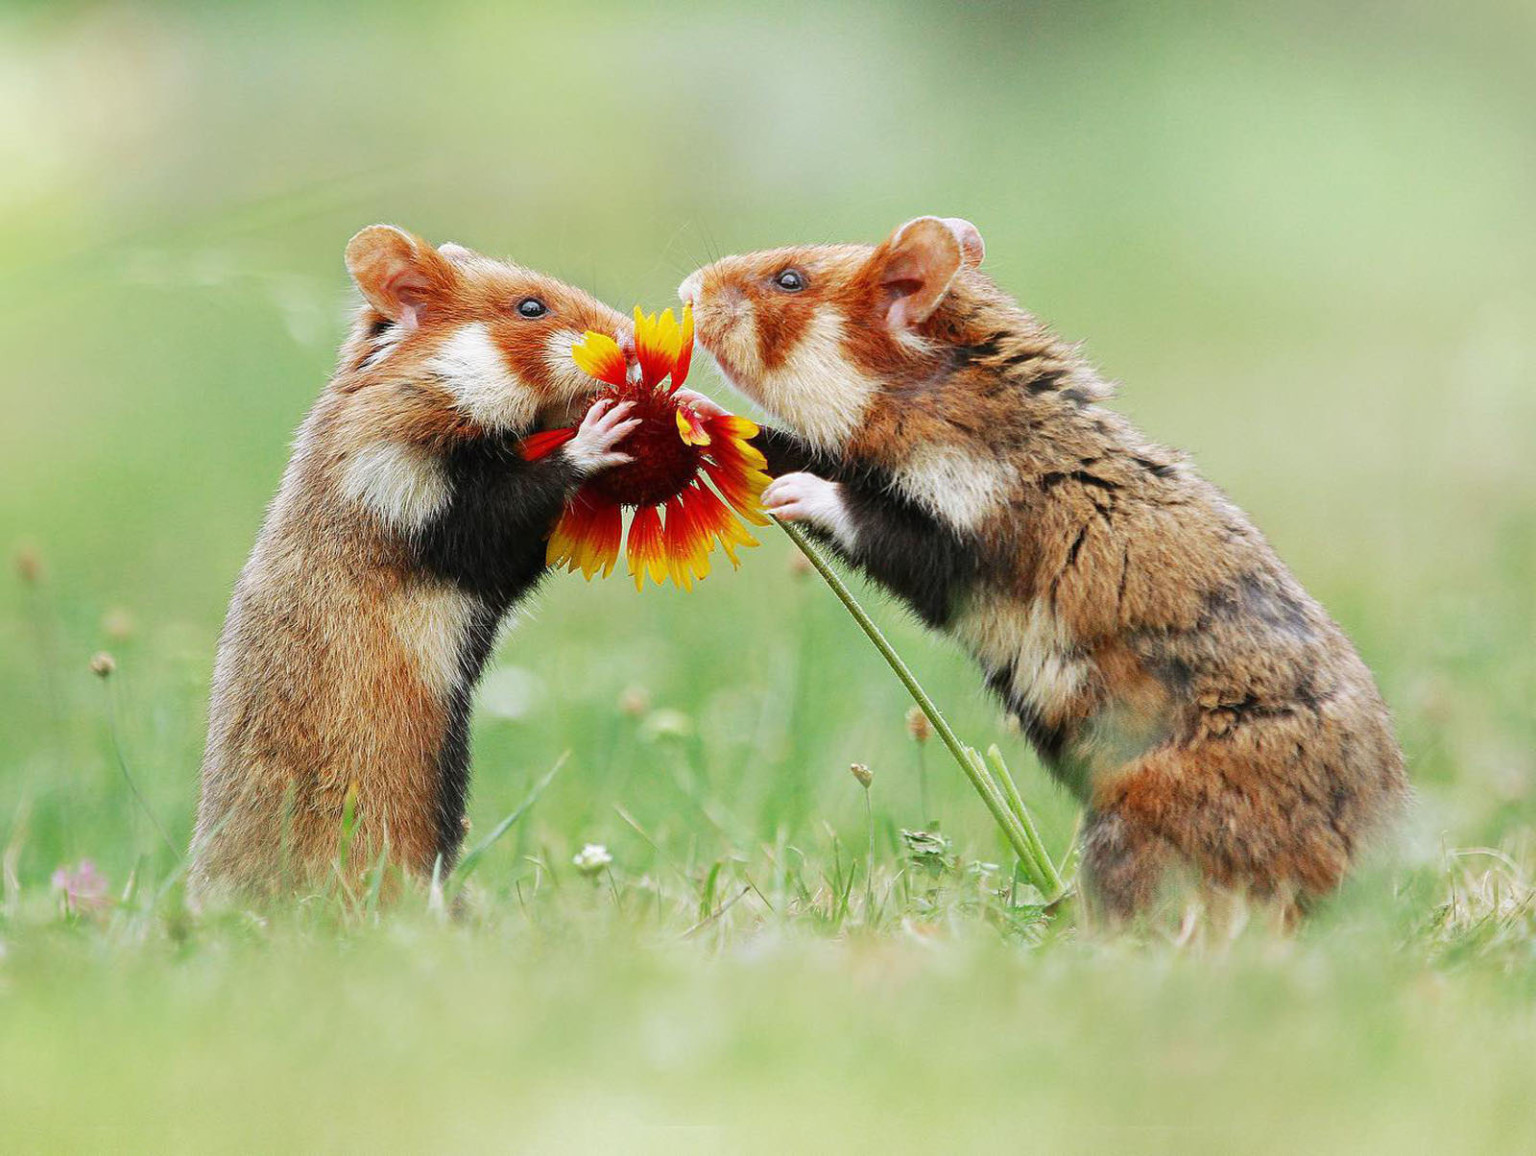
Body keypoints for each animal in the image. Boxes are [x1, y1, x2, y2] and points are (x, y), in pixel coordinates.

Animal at [679, 216, 1407, 921]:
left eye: (790, 280)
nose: (686, 289)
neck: (949, 394)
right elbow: (780, 443)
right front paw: (691, 408)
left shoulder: (969, 534)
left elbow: (858, 511)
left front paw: (790, 492)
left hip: (1136, 826)